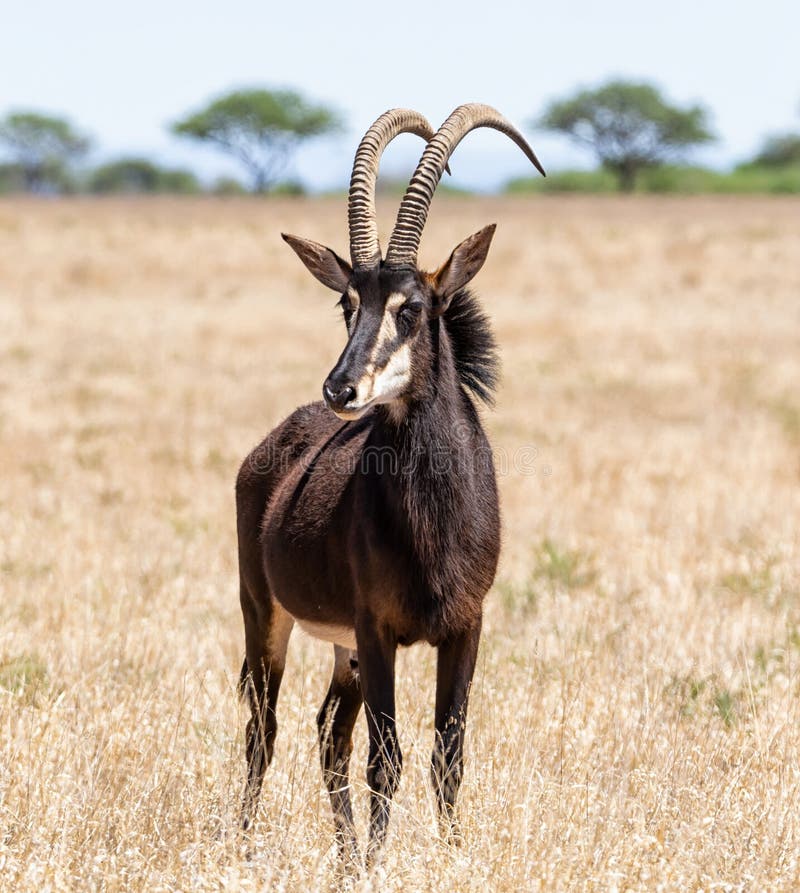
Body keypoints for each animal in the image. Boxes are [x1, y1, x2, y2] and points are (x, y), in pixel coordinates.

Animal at [235, 104, 544, 866]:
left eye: (410, 307)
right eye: (348, 304)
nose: (341, 388)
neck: (434, 518)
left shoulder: (465, 628)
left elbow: (447, 756)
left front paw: (449, 856)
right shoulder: (377, 632)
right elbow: (389, 757)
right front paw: (381, 862)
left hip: (341, 649)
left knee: (327, 734)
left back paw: (344, 856)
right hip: (267, 615)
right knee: (265, 728)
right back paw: (245, 847)